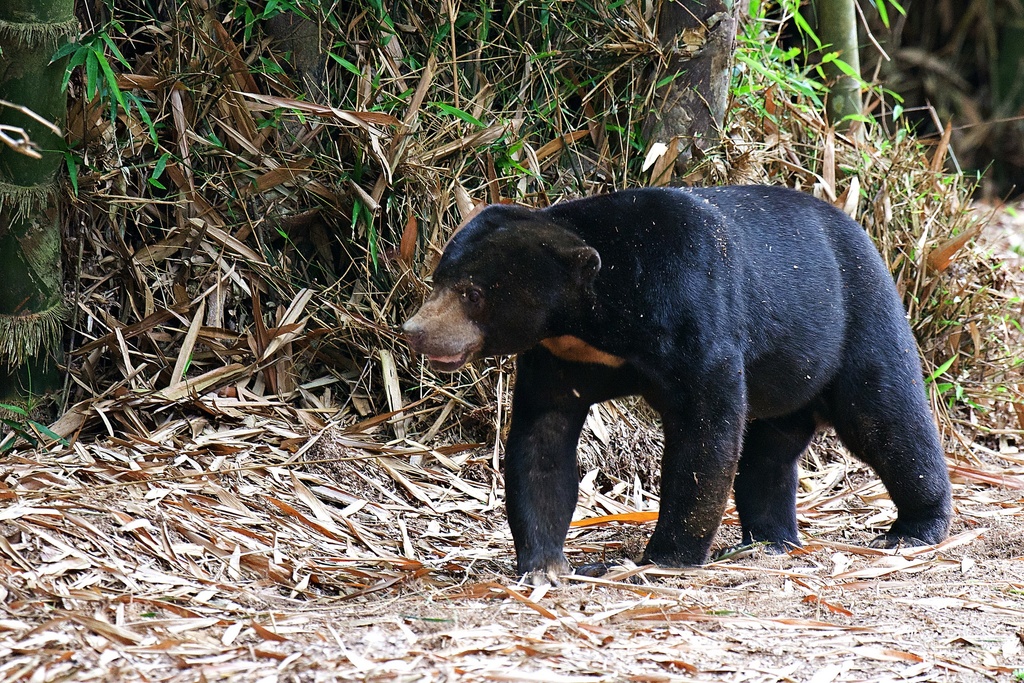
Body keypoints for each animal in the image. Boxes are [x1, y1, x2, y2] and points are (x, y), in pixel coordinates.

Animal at [402, 186, 952, 585]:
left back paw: (913, 530)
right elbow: (543, 439)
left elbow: (705, 434)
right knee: (771, 451)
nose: (414, 330)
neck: (599, 313)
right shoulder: (560, 355)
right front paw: (545, 566)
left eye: (473, 293)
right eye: (438, 279)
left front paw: (663, 558)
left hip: (858, 314)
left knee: (887, 417)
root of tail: (862, 232)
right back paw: (769, 540)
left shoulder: (693, 313)